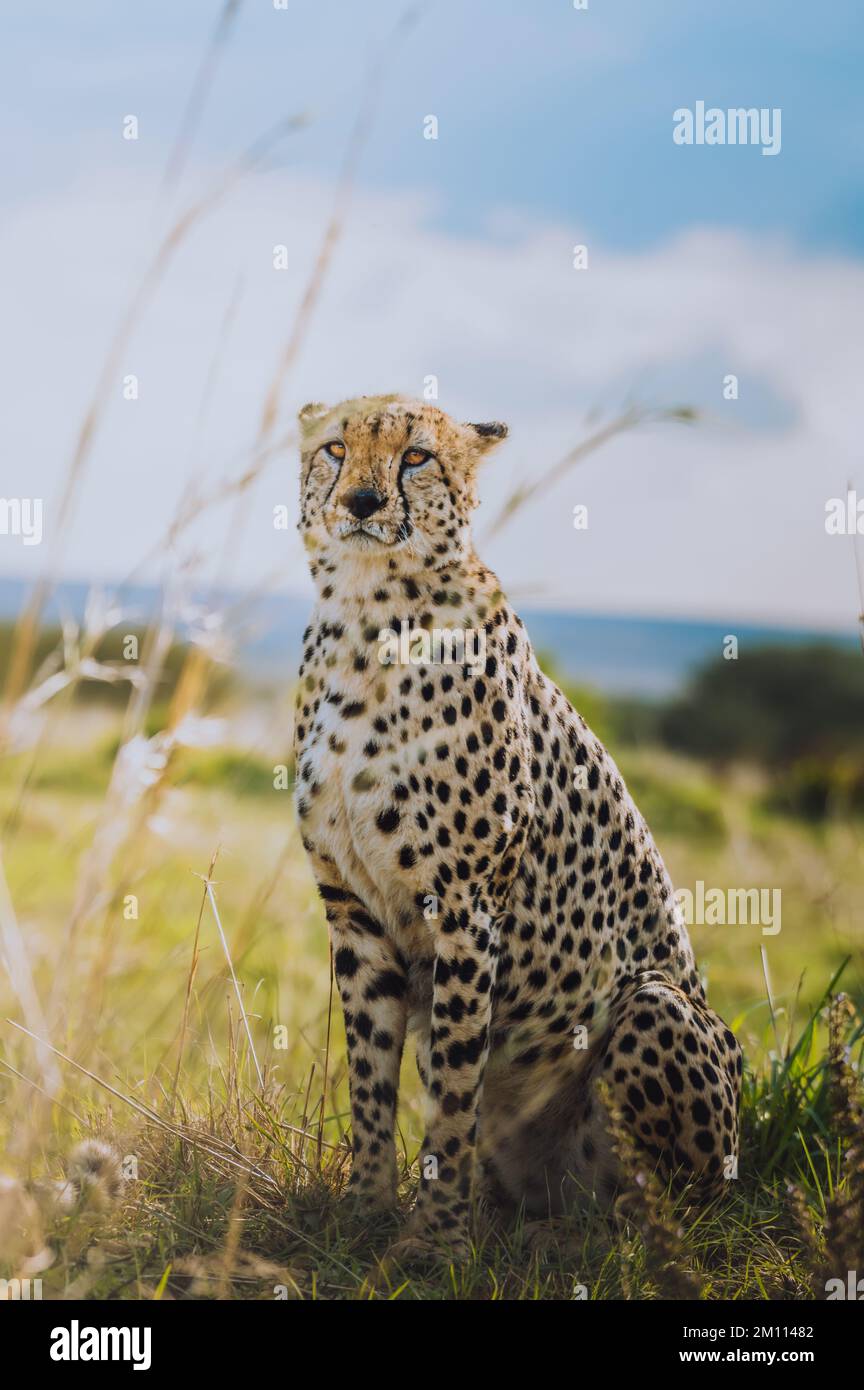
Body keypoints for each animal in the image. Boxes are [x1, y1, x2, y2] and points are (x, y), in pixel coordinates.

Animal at [293, 393, 742, 1264]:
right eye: (335, 447)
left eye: (416, 457)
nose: (360, 502)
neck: (365, 617)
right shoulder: (353, 910)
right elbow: (370, 1081)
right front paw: (365, 1213)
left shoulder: (464, 907)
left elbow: (452, 1093)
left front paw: (434, 1242)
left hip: (658, 1005)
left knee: (661, 1208)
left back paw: (600, 1240)